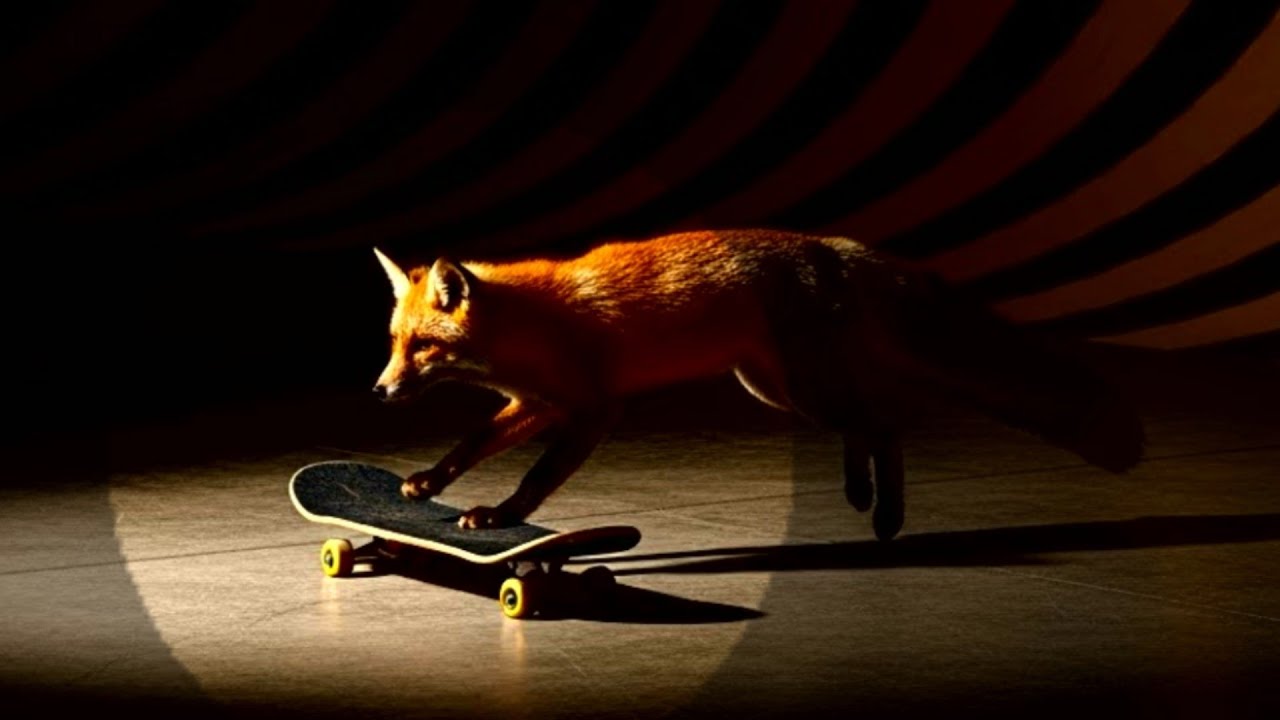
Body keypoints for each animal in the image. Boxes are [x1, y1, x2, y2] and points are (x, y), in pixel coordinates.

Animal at [372, 229, 1144, 540]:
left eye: (422, 347)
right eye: (393, 343)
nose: (379, 393)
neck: (531, 324)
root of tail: (832, 247)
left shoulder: (593, 408)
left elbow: (535, 478)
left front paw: (501, 517)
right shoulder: (536, 403)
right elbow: (470, 442)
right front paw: (429, 483)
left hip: (803, 385)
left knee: (887, 420)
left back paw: (886, 514)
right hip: (777, 390)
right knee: (865, 425)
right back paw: (862, 496)